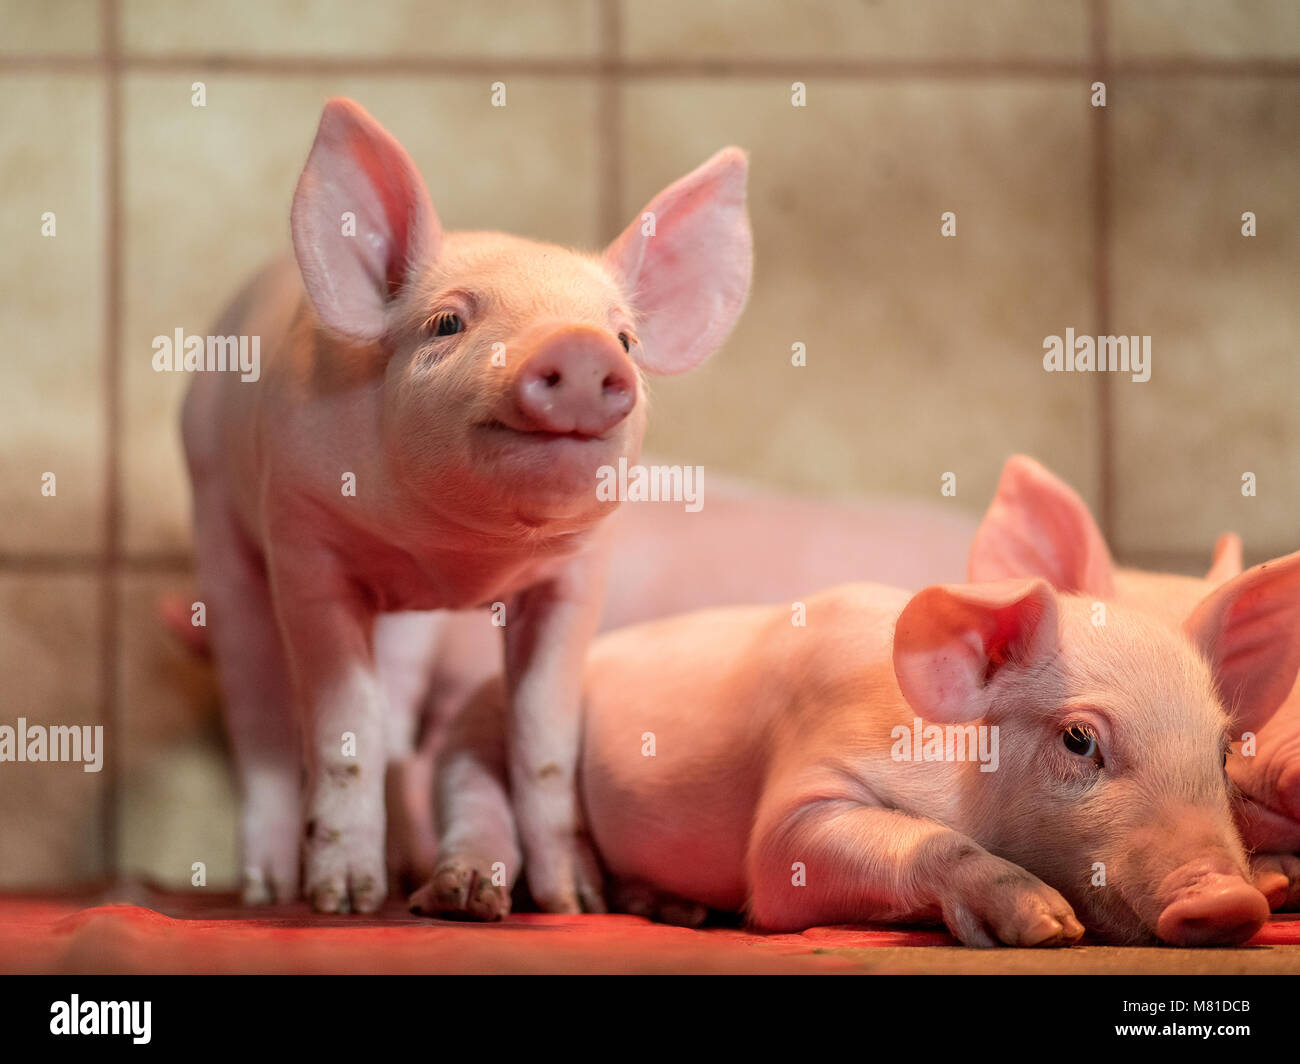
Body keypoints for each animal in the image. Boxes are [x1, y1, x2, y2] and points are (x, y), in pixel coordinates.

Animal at [182, 96, 754, 913]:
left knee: (396, 713)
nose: (581, 348)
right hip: (212, 507)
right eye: (448, 323)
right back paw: (272, 889)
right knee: (257, 707)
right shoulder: (304, 539)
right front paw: (342, 902)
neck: (457, 562)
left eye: (624, 339)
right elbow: (344, 729)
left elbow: (545, 738)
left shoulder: (577, 575)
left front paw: (575, 902)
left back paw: (407, 878)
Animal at [417, 556, 1300, 946]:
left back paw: (680, 911)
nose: (1228, 901)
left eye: (1221, 753)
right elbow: (782, 862)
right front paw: (1046, 925)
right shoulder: (802, 789)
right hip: (480, 728)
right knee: (471, 802)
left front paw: (1276, 882)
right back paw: (475, 901)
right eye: (1080, 739)